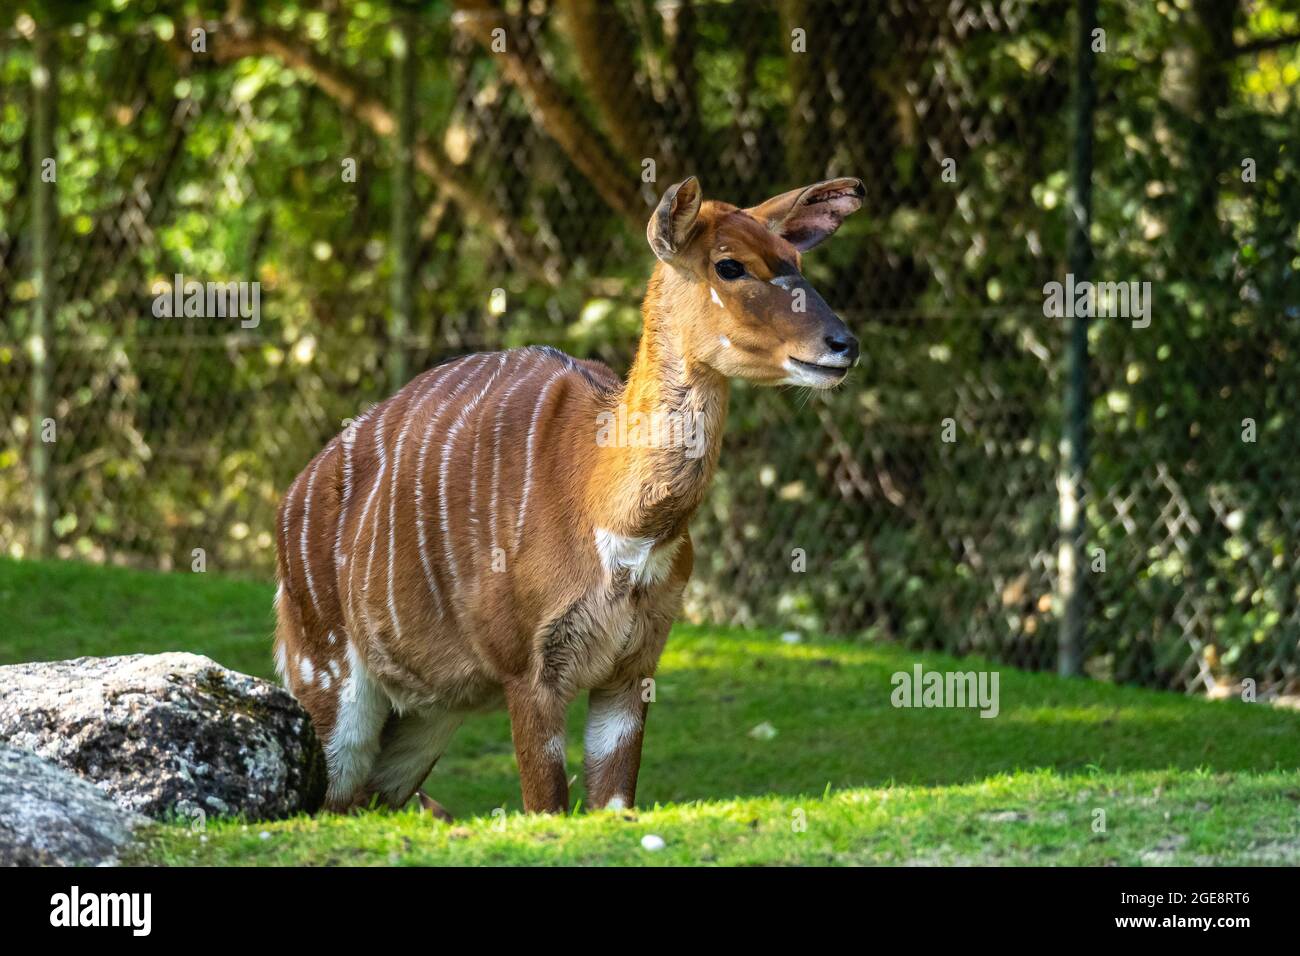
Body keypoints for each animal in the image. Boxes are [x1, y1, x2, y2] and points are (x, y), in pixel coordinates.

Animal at [275, 176, 863, 815]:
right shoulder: (527, 669)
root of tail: (293, 495)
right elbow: (547, 802)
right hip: (328, 680)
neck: (609, 515)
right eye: (729, 264)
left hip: (424, 718)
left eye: (795, 260)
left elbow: (614, 800)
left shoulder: (634, 667)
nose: (844, 344)